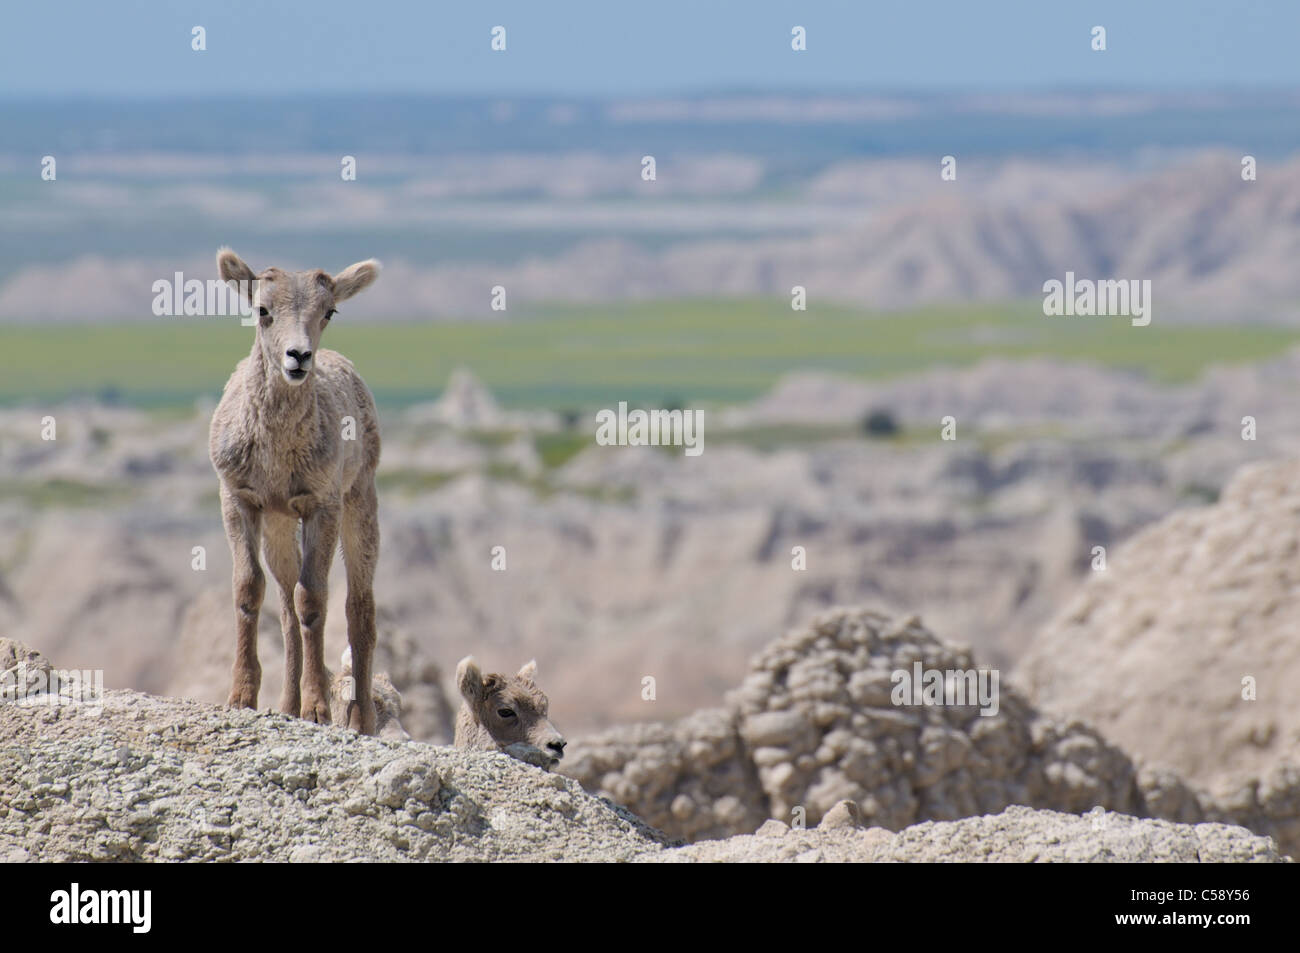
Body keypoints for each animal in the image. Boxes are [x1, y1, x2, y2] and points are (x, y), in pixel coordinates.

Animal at [209, 248, 383, 734]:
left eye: (329, 312)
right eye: (262, 310)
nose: (298, 356)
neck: (276, 455)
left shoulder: (323, 506)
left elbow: (314, 598)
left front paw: (317, 709)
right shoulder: (240, 501)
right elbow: (250, 588)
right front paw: (241, 698)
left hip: (360, 504)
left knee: (358, 606)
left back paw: (359, 718)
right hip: (280, 526)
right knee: (285, 608)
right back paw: (286, 704)